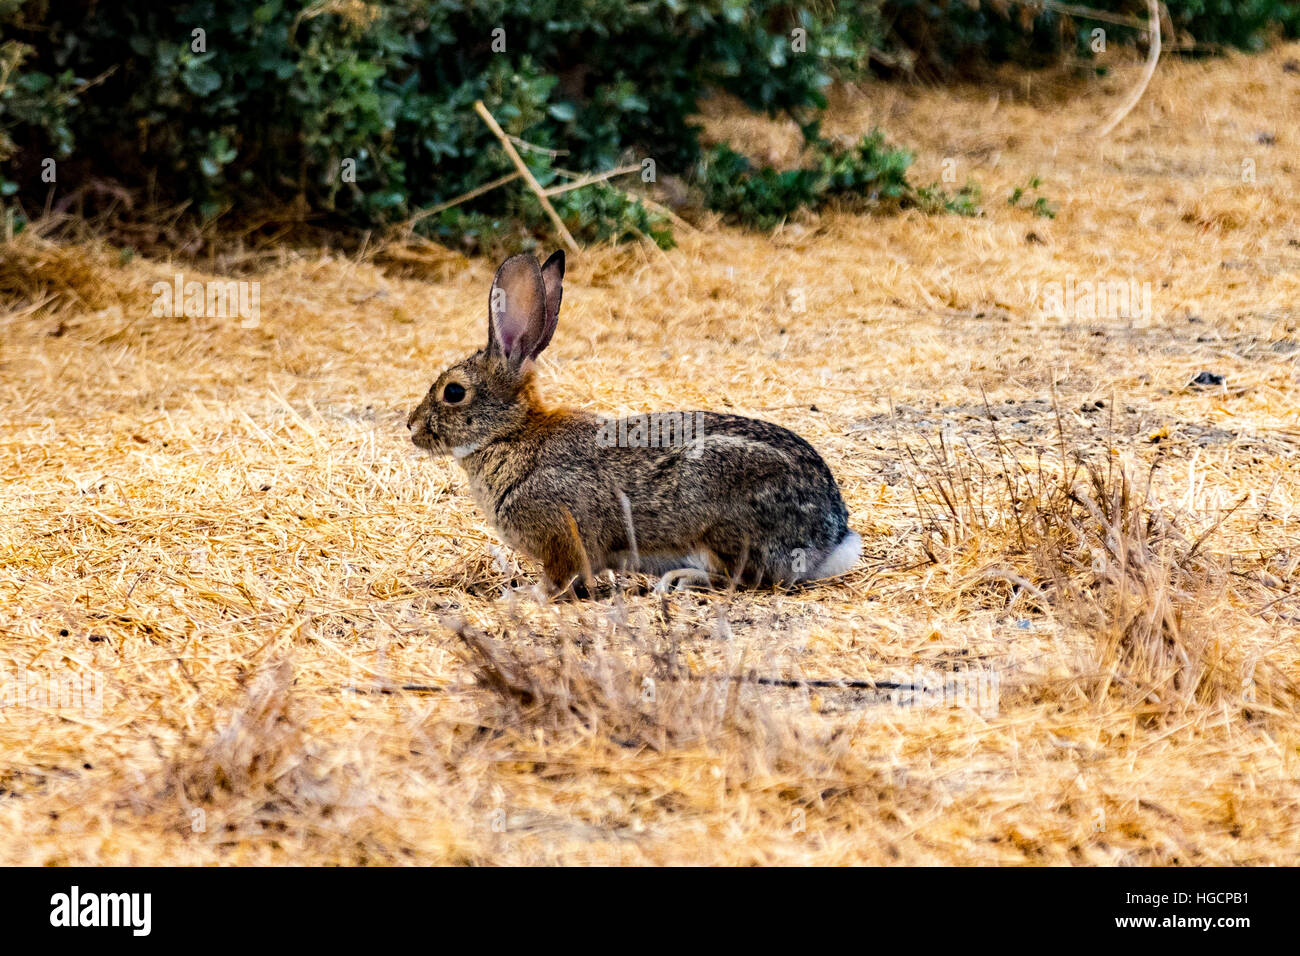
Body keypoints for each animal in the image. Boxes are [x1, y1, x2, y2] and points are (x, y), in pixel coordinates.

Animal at [407, 250, 861, 596]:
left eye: (453, 392)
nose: (412, 426)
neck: (511, 434)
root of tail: (832, 536)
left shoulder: (559, 534)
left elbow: (560, 577)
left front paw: (523, 596)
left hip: (723, 523)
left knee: (742, 577)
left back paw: (680, 579)